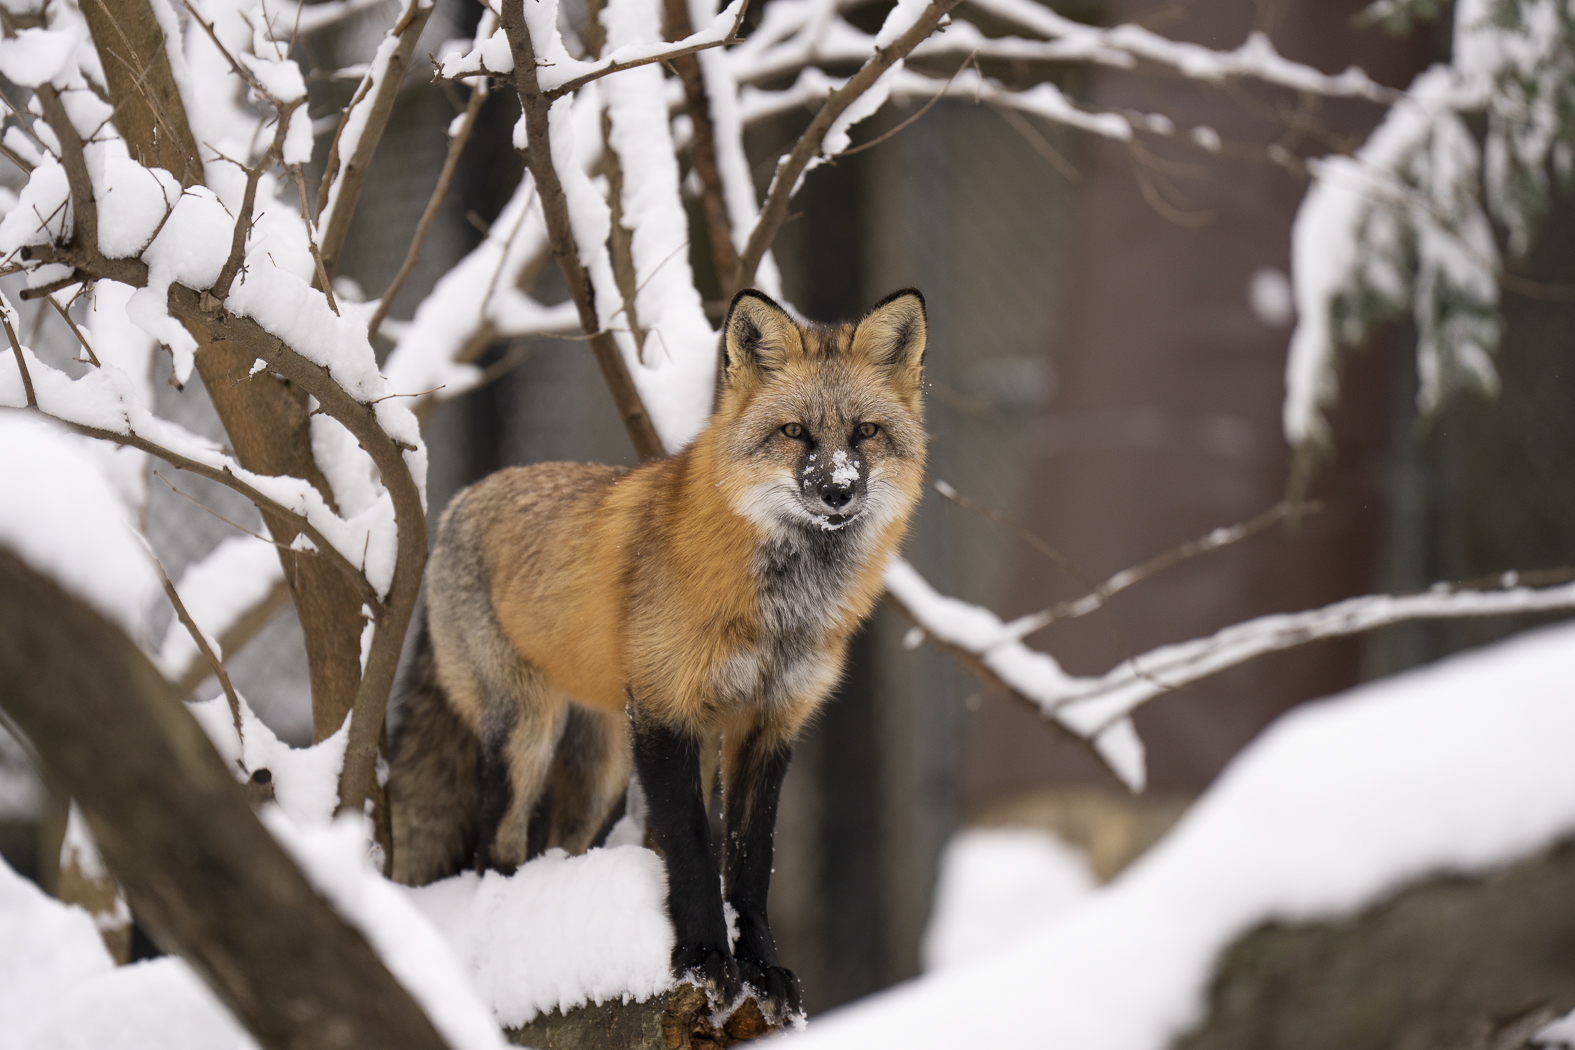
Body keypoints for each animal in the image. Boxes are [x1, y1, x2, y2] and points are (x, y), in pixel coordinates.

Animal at [387, 287, 928, 1017]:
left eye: (865, 432)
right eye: (793, 433)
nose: (837, 491)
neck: (781, 612)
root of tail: (458, 503)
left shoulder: (769, 725)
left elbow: (749, 865)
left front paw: (762, 967)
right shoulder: (668, 712)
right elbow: (693, 850)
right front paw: (702, 958)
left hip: (603, 769)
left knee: (557, 843)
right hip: (528, 731)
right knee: (492, 850)